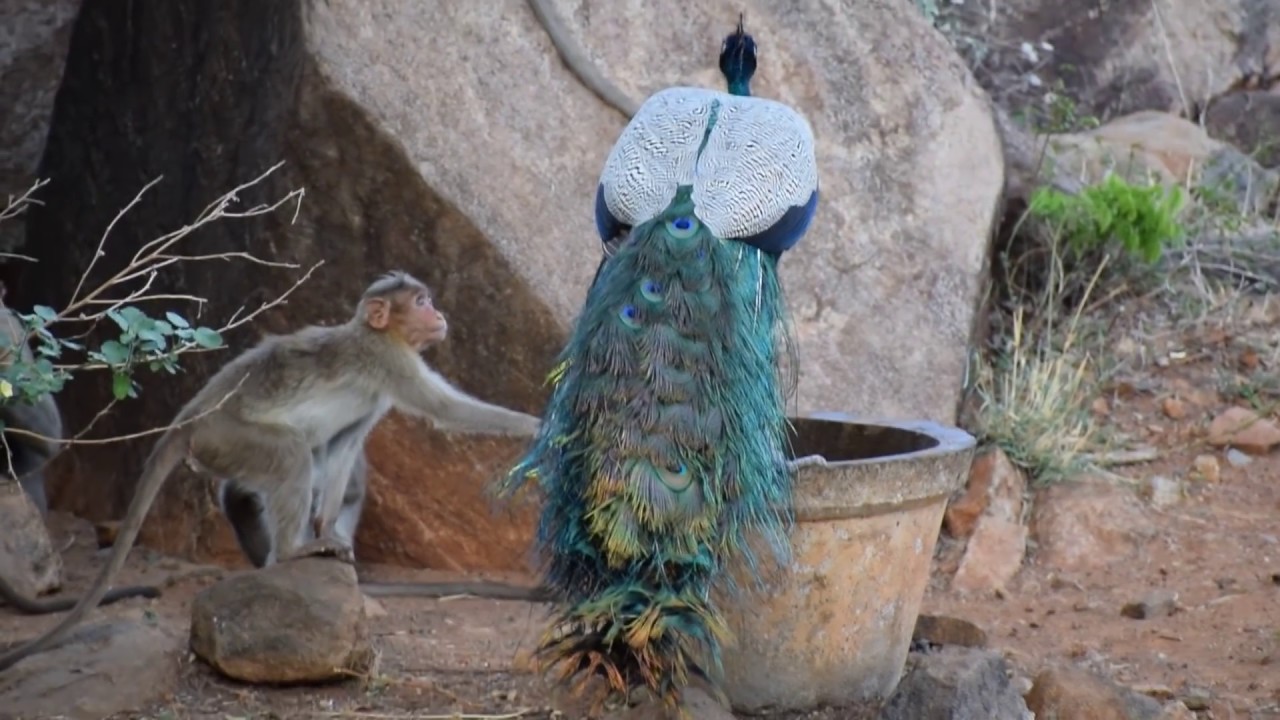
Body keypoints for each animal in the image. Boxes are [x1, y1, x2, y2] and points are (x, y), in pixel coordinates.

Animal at [0, 270, 544, 671]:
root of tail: (190, 418)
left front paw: (328, 527)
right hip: (227, 439)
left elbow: (344, 446)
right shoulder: (391, 362)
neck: (376, 333)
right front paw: (537, 425)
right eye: (421, 300)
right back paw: (289, 552)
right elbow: (446, 411)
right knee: (291, 452)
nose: (440, 314)